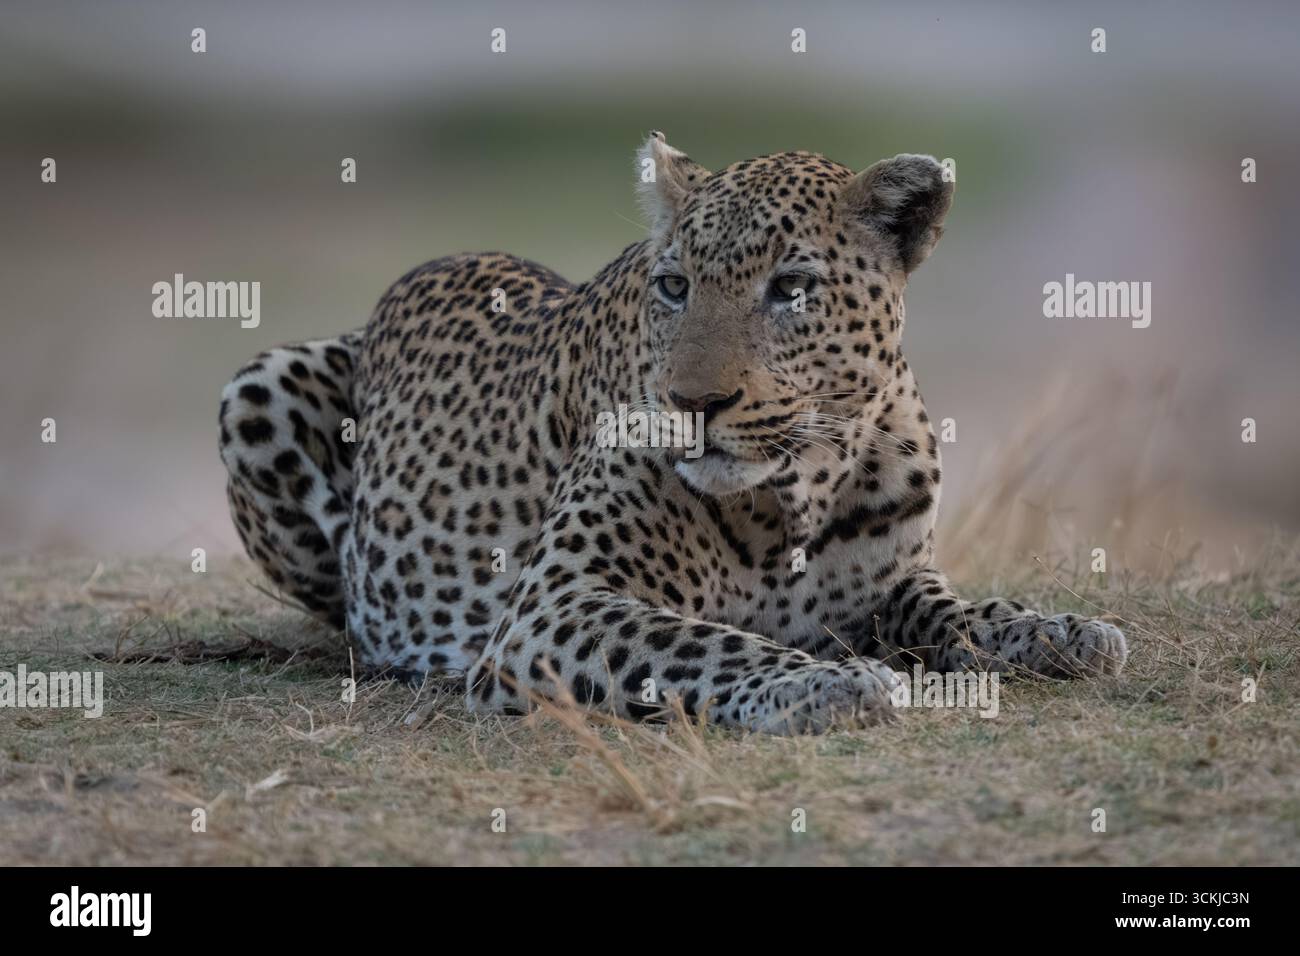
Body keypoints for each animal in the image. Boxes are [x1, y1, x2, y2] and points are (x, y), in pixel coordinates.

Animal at [217, 132, 1127, 735]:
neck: (801, 483)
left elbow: (961, 612)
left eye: (791, 288)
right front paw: (827, 684)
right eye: (674, 285)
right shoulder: (555, 604)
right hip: (254, 390)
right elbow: (697, 644)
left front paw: (1062, 631)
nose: (695, 401)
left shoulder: (894, 582)